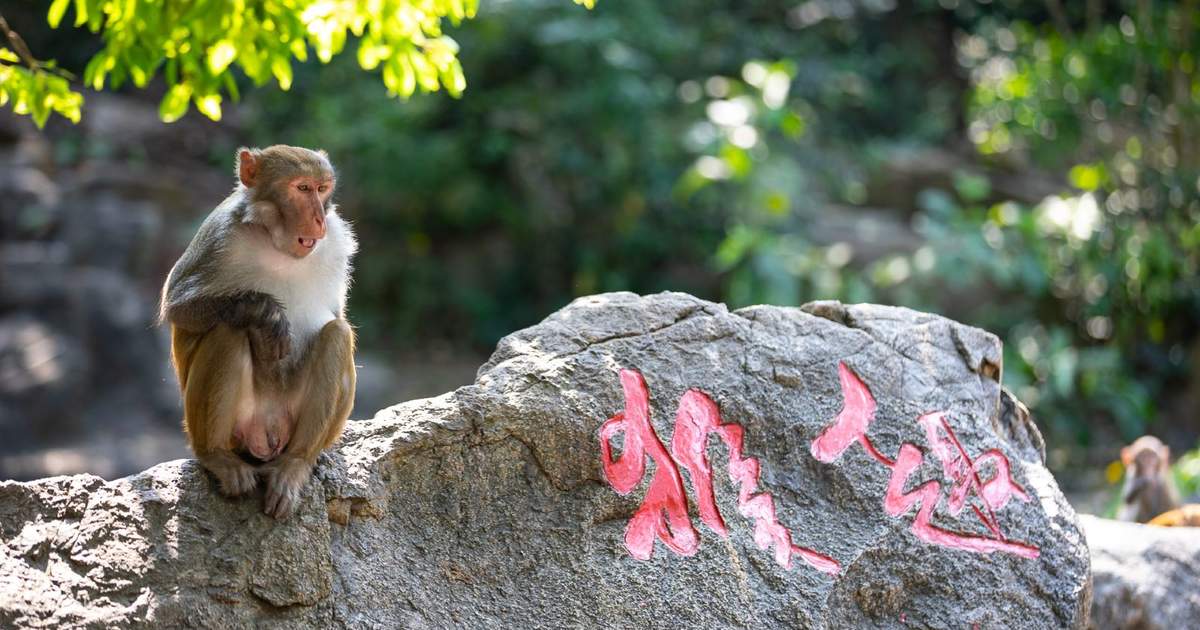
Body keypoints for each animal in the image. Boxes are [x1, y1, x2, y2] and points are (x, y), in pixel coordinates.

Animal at [160, 145, 357, 519]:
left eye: (322, 189)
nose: (319, 219)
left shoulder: (338, 241)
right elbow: (178, 306)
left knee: (337, 333)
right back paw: (216, 457)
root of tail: (267, 434)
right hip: (235, 426)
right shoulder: (219, 233)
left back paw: (295, 464)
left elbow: (338, 317)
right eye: (302, 188)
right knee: (227, 332)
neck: (275, 242)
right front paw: (264, 313)